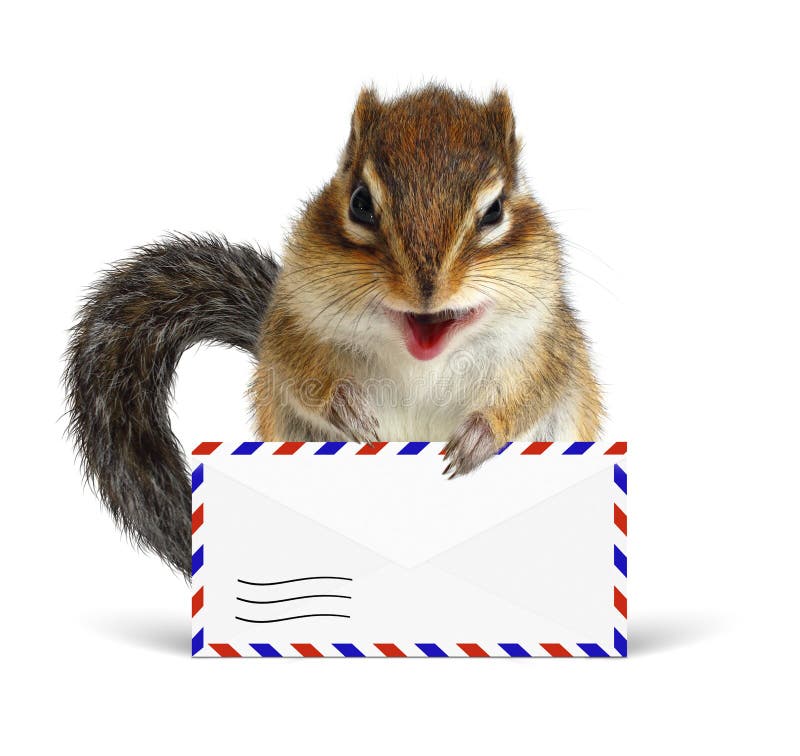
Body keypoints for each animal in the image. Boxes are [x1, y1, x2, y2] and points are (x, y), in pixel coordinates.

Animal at [64, 85, 602, 578]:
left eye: (494, 211)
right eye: (361, 203)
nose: (427, 289)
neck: (420, 364)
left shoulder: (546, 344)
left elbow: (531, 393)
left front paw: (478, 437)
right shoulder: (290, 325)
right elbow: (298, 370)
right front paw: (348, 409)